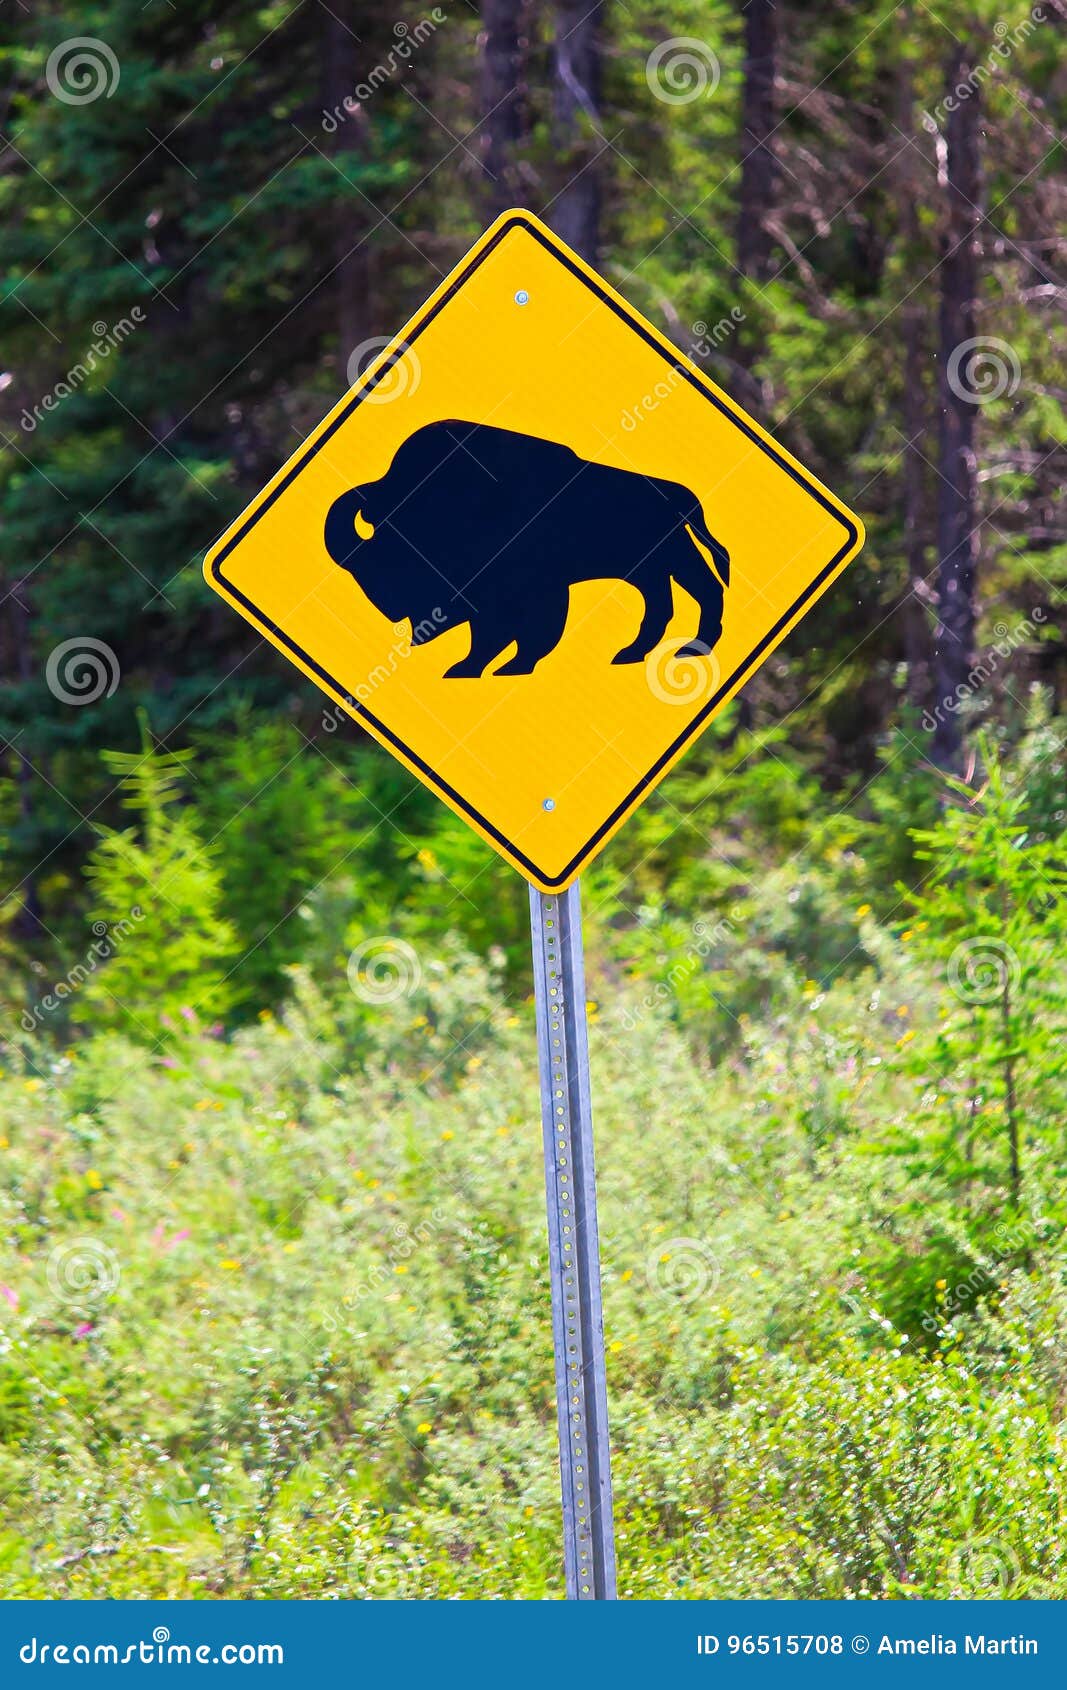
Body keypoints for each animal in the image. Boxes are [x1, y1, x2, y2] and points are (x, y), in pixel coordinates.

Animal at [323, 419, 730, 678]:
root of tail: (679, 494)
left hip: (673, 559)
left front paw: (478, 669)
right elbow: (508, 634)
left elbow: (512, 633)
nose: (391, 607)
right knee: (664, 605)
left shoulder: (531, 592)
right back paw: (632, 654)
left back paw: (690, 649)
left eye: (392, 557)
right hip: (651, 569)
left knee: (706, 590)